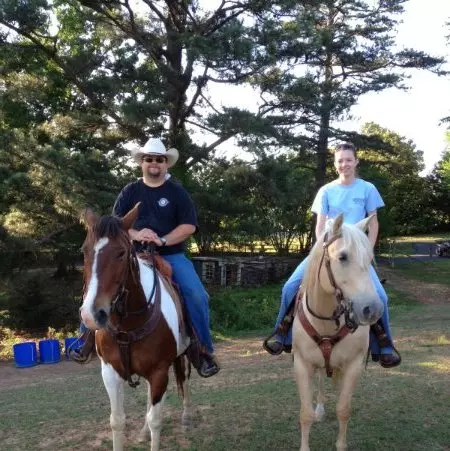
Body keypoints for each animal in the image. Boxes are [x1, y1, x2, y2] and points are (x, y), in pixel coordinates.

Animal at [79, 205, 192, 451]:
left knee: (184, 381)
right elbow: (117, 420)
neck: (128, 325)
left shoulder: (159, 371)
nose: (92, 314)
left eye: (121, 252)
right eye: (84, 251)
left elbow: (156, 420)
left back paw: (187, 416)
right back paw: (142, 432)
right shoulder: (109, 371)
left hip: (181, 356)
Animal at [294, 215, 384, 451]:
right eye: (342, 257)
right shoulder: (302, 365)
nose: (372, 309)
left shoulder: (353, 365)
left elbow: (343, 410)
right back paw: (320, 409)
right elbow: (305, 413)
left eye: (370, 258)